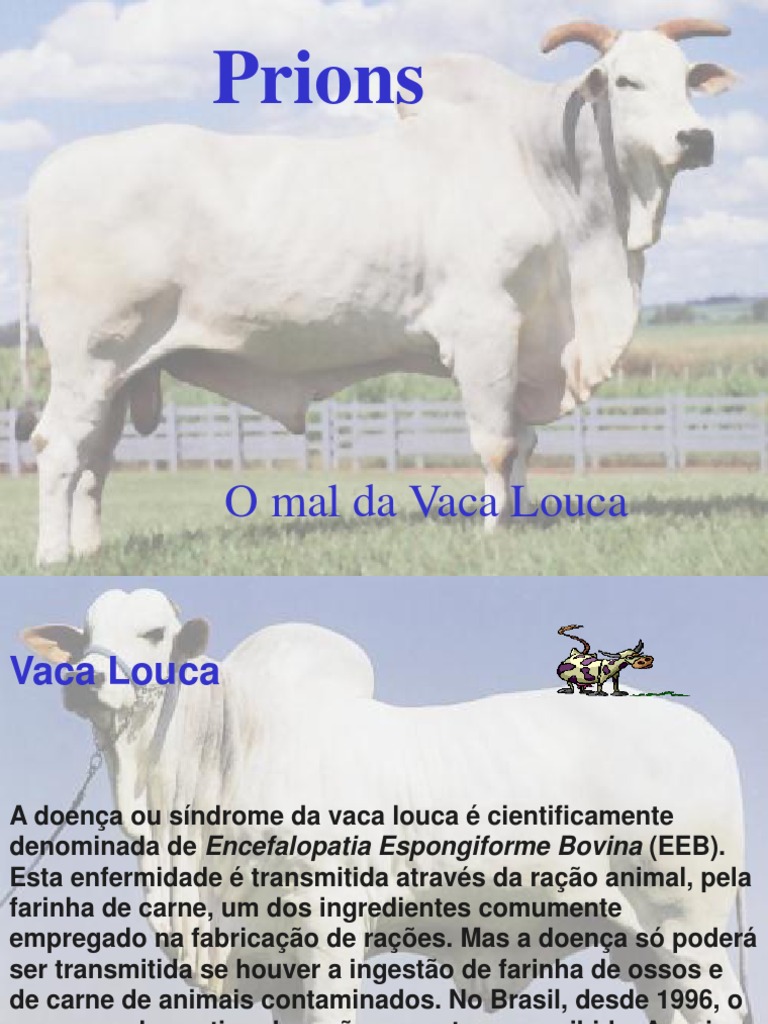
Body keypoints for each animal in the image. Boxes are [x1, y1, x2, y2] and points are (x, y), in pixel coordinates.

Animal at [15, 19, 735, 564]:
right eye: (625, 80)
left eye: (686, 79)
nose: (696, 138)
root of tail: (52, 169)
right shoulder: (484, 328)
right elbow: (497, 441)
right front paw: (493, 531)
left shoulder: (528, 338)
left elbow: (525, 441)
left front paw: (524, 519)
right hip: (86, 358)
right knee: (57, 447)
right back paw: (53, 555)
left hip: (119, 371)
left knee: (96, 459)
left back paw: (90, 549)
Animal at [22, 588, 752, 1024]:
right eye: (83, 635)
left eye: (152, 633)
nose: (82, 678)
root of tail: (709, 737)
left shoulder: (329, 934)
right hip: (639, 948)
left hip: (686, 929)